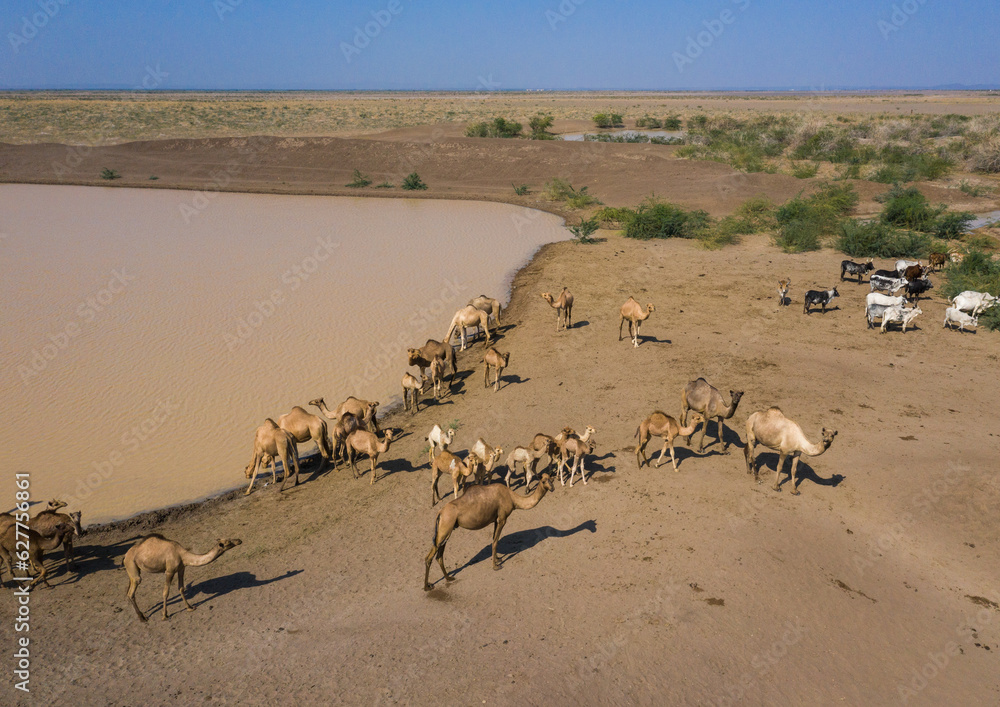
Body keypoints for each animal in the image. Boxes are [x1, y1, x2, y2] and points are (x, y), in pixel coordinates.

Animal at [424, 474, 555, 590]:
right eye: (544, 481)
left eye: (551, 479)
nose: (552, 488)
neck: (512, 498)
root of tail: (440, 513)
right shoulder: (502, 519)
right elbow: (495, 541)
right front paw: (495, 566)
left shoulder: (496, 519)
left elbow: (494, 539)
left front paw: (497, 559)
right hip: (445, 527)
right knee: (429, 557)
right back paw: (427, 587)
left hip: (446, 530)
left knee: (439, 556)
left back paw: (449, 578)